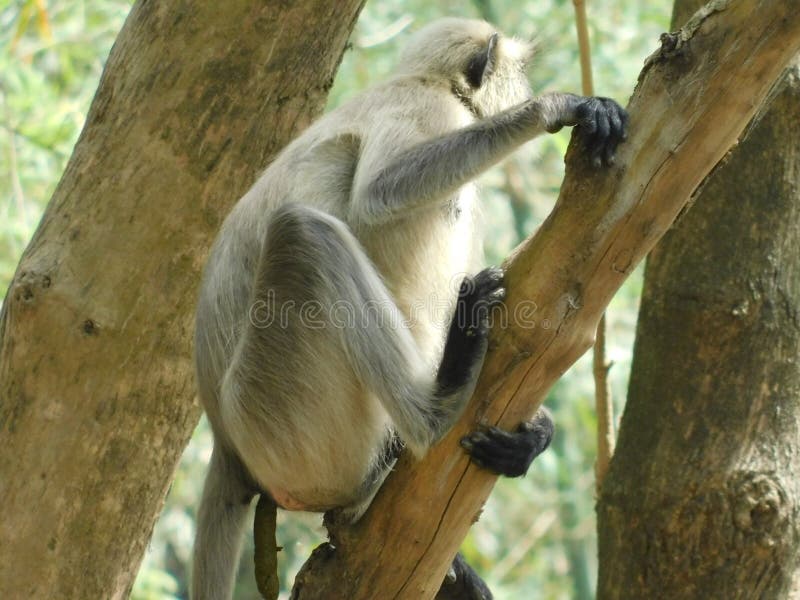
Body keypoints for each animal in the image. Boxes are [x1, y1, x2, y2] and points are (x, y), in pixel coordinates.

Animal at [191, 17, 627, 600]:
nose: (529, 88)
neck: (432, 82)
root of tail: (227, 445)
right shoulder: (429, 107)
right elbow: (380, 192)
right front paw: (556, 107)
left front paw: (536, 433)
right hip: (280, 418)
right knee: (303, 232)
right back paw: (437, 407)